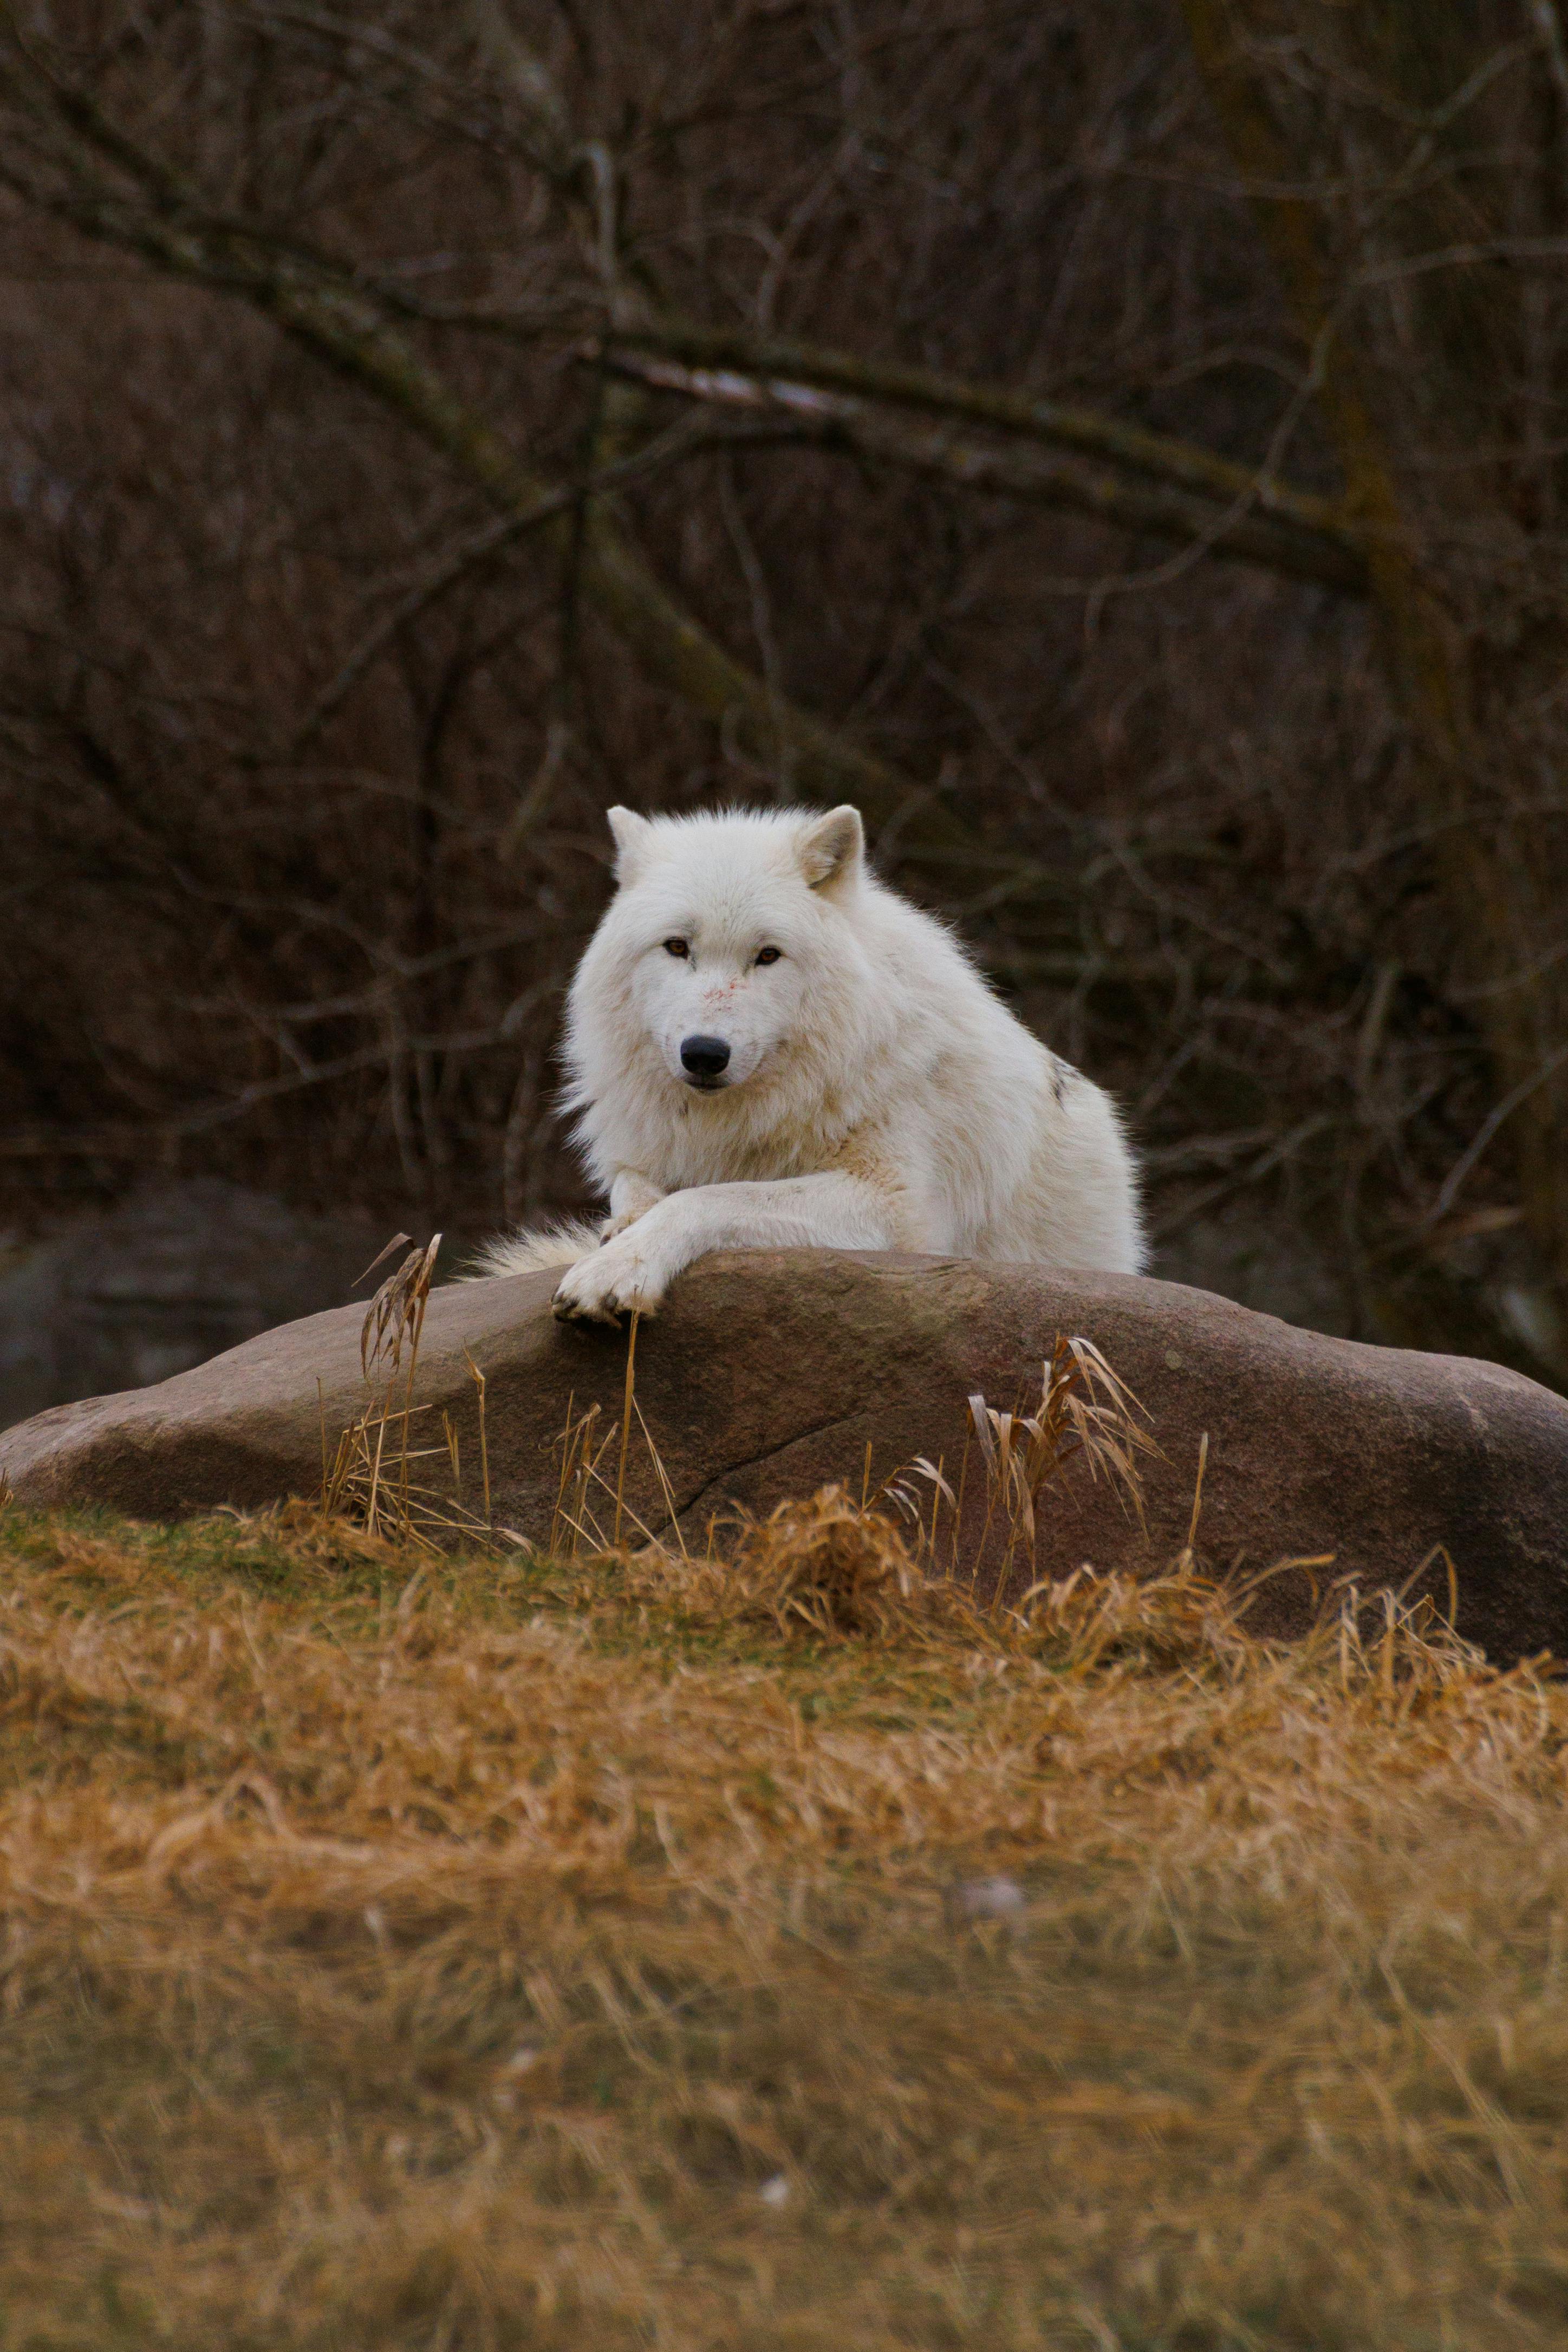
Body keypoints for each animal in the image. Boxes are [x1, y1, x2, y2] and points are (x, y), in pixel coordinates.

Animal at [475, 802, 1145, 1322]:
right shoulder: (644, 1152)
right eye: (677, 947)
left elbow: (707, 1199)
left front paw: (619, 1267)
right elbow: (635, 1187)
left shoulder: (896, 1206)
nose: (705, 1053)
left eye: (768, 955)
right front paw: (621, 1229)